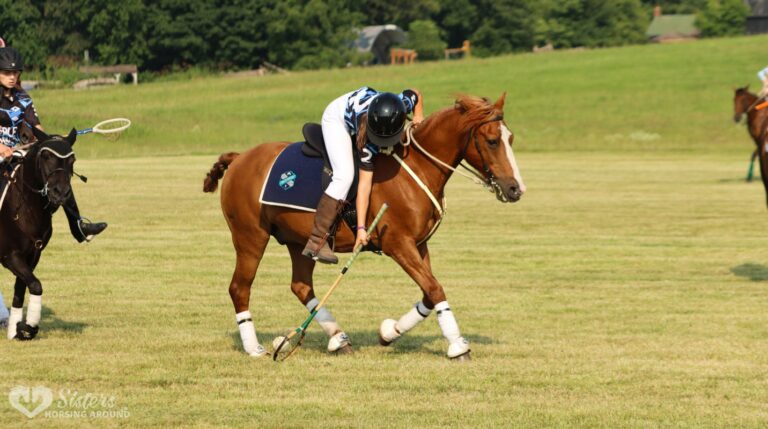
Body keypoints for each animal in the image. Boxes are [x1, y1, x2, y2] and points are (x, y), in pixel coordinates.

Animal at [0, 127, 78, 340]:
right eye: (46, 156)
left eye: (72, 159)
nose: (60, 193)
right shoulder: (9, 255)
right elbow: (35, 285)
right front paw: (28, 326)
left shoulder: (32, 255)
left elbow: (21, 288)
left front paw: (17, 328)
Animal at [203, 93, 525, 360]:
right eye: (492, 141)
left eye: (510, 139)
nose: (515, 189)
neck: (416, 168)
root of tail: (239, 158)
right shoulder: (398, 244)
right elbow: (434, 289)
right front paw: (458, 346)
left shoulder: (419, 244)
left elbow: (428, 291)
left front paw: (389, 332)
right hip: (250, 236)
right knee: (240, 287)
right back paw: (254, 348)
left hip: (298, 241)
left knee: (301, 286)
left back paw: (338, 338)